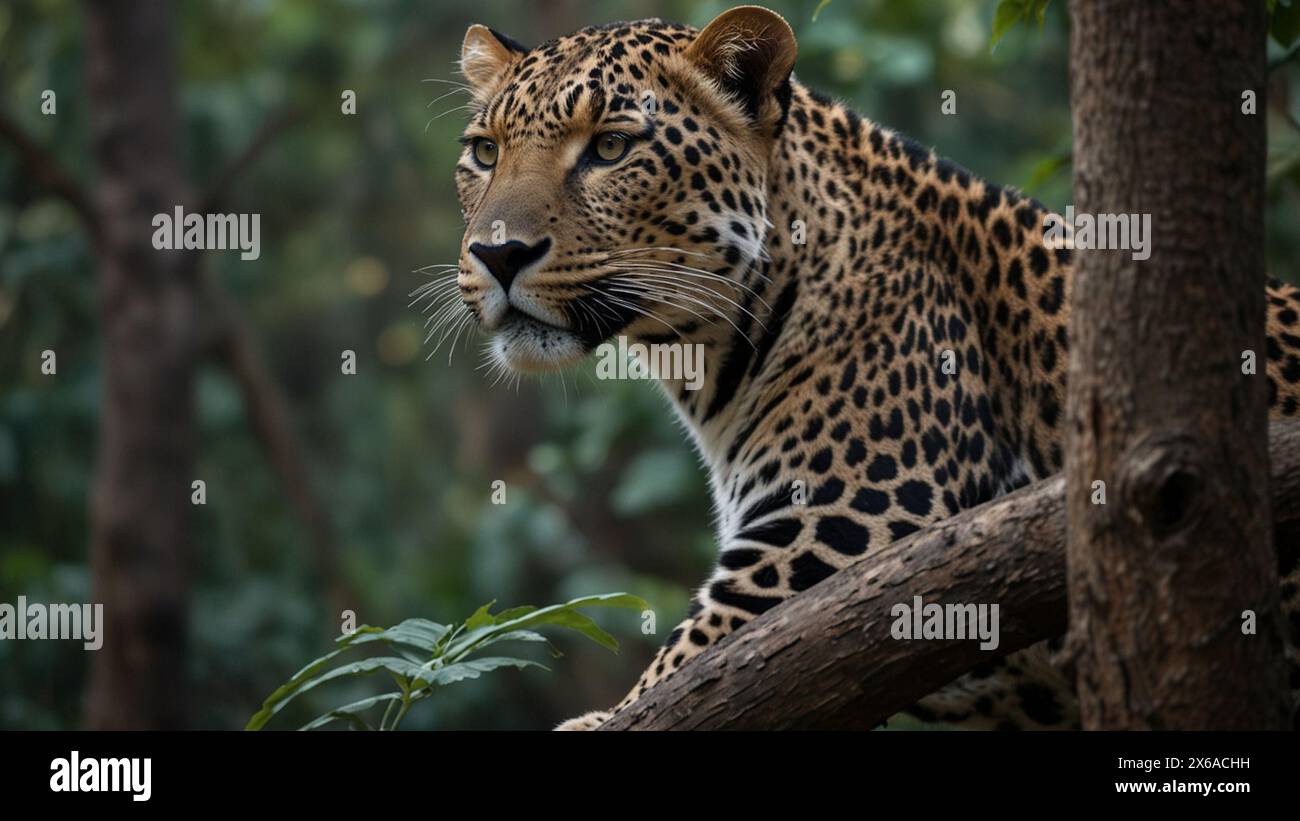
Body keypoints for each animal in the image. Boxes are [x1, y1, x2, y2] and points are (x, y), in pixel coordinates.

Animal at [445, 5, 1300, 730]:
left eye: (611, 148)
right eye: (484, 152)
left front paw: (608, 717)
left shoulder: (854, 518)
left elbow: (695, 656)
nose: (497, 255)